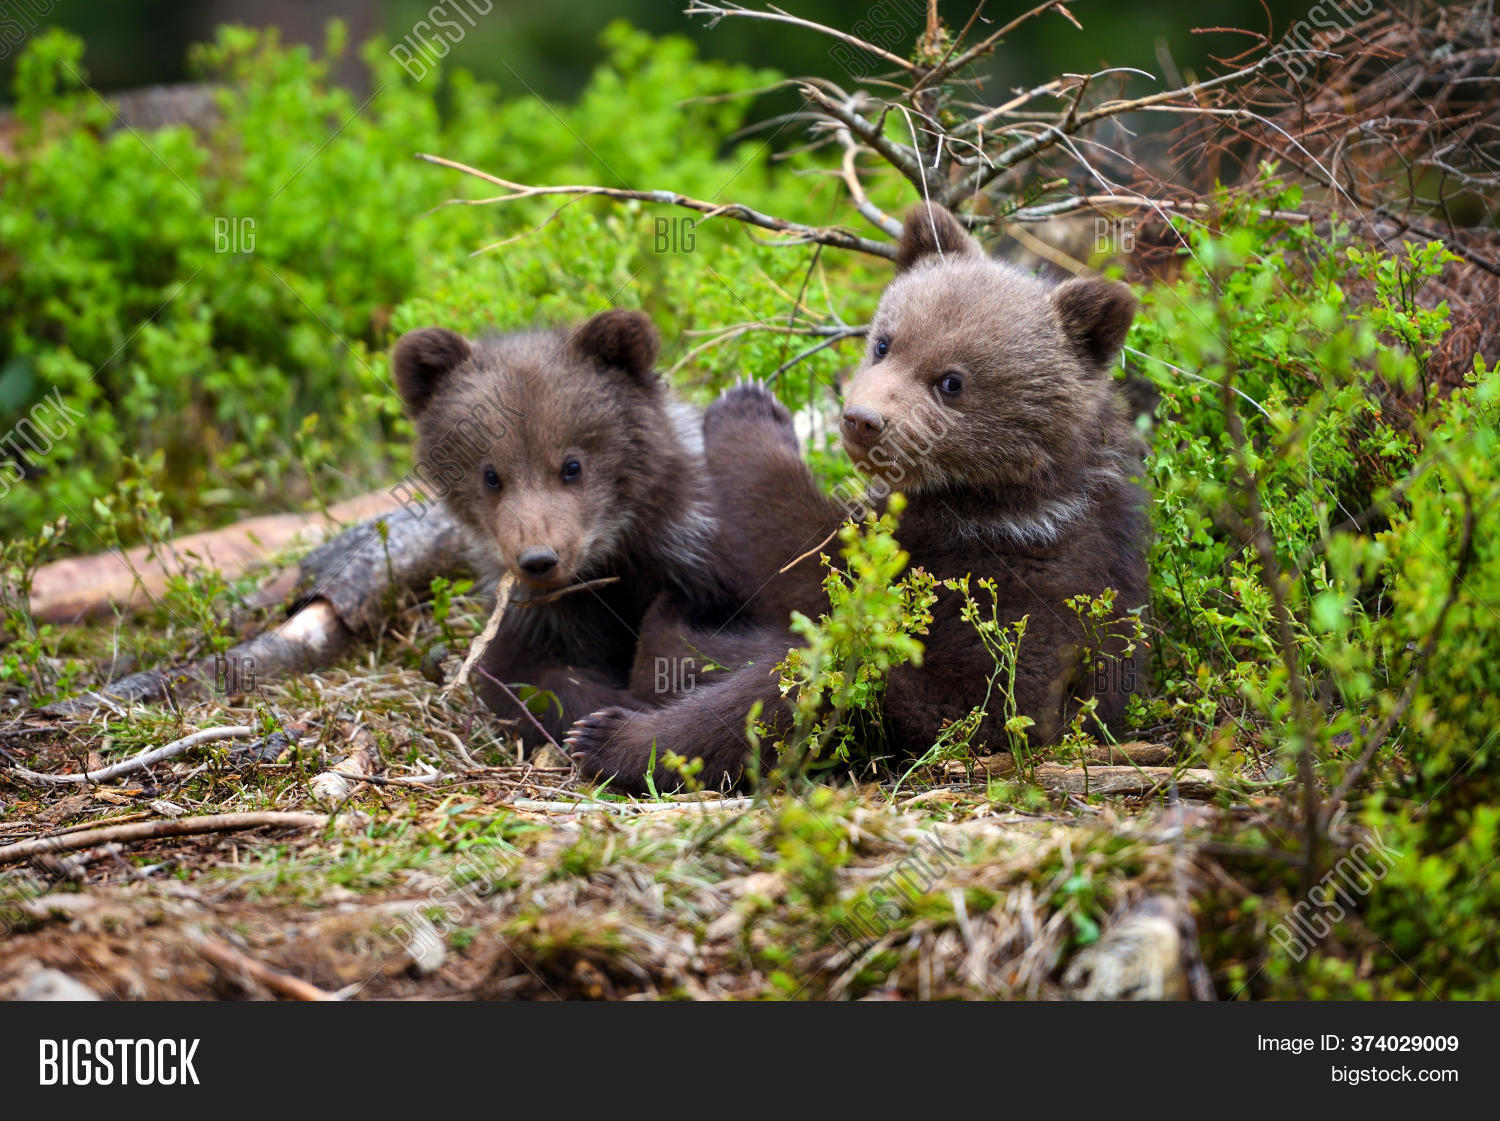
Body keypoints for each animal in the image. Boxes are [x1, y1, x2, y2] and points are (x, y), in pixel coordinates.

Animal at [392, 309, 749, 749]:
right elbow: (529, 678)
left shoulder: (699, 561)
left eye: (572, 465)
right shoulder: (539, 615)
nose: (539, 559)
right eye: (491, 475)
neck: (611, 558)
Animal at [566, 202, 1149, 792]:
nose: (862, 420)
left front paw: (747, 406)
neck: (1009, 484)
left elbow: (797, 554)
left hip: (923, 697)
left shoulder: (951, 549)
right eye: (885, 342)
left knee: (777, 695)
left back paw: (611, 735)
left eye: (951, 381)